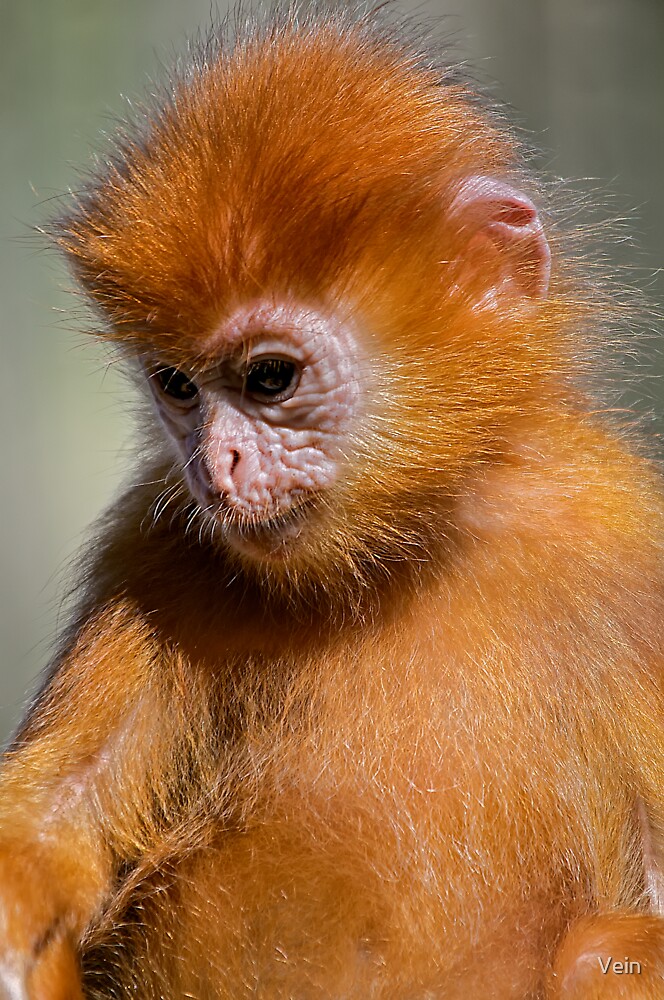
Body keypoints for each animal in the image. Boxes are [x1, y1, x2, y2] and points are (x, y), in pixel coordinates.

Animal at [1, 4, 664, 999]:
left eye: (269, 378)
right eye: (177, 386)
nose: (216, 462)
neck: (401, 559)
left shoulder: (631, 554)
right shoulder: (152, 550)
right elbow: (48, 831)